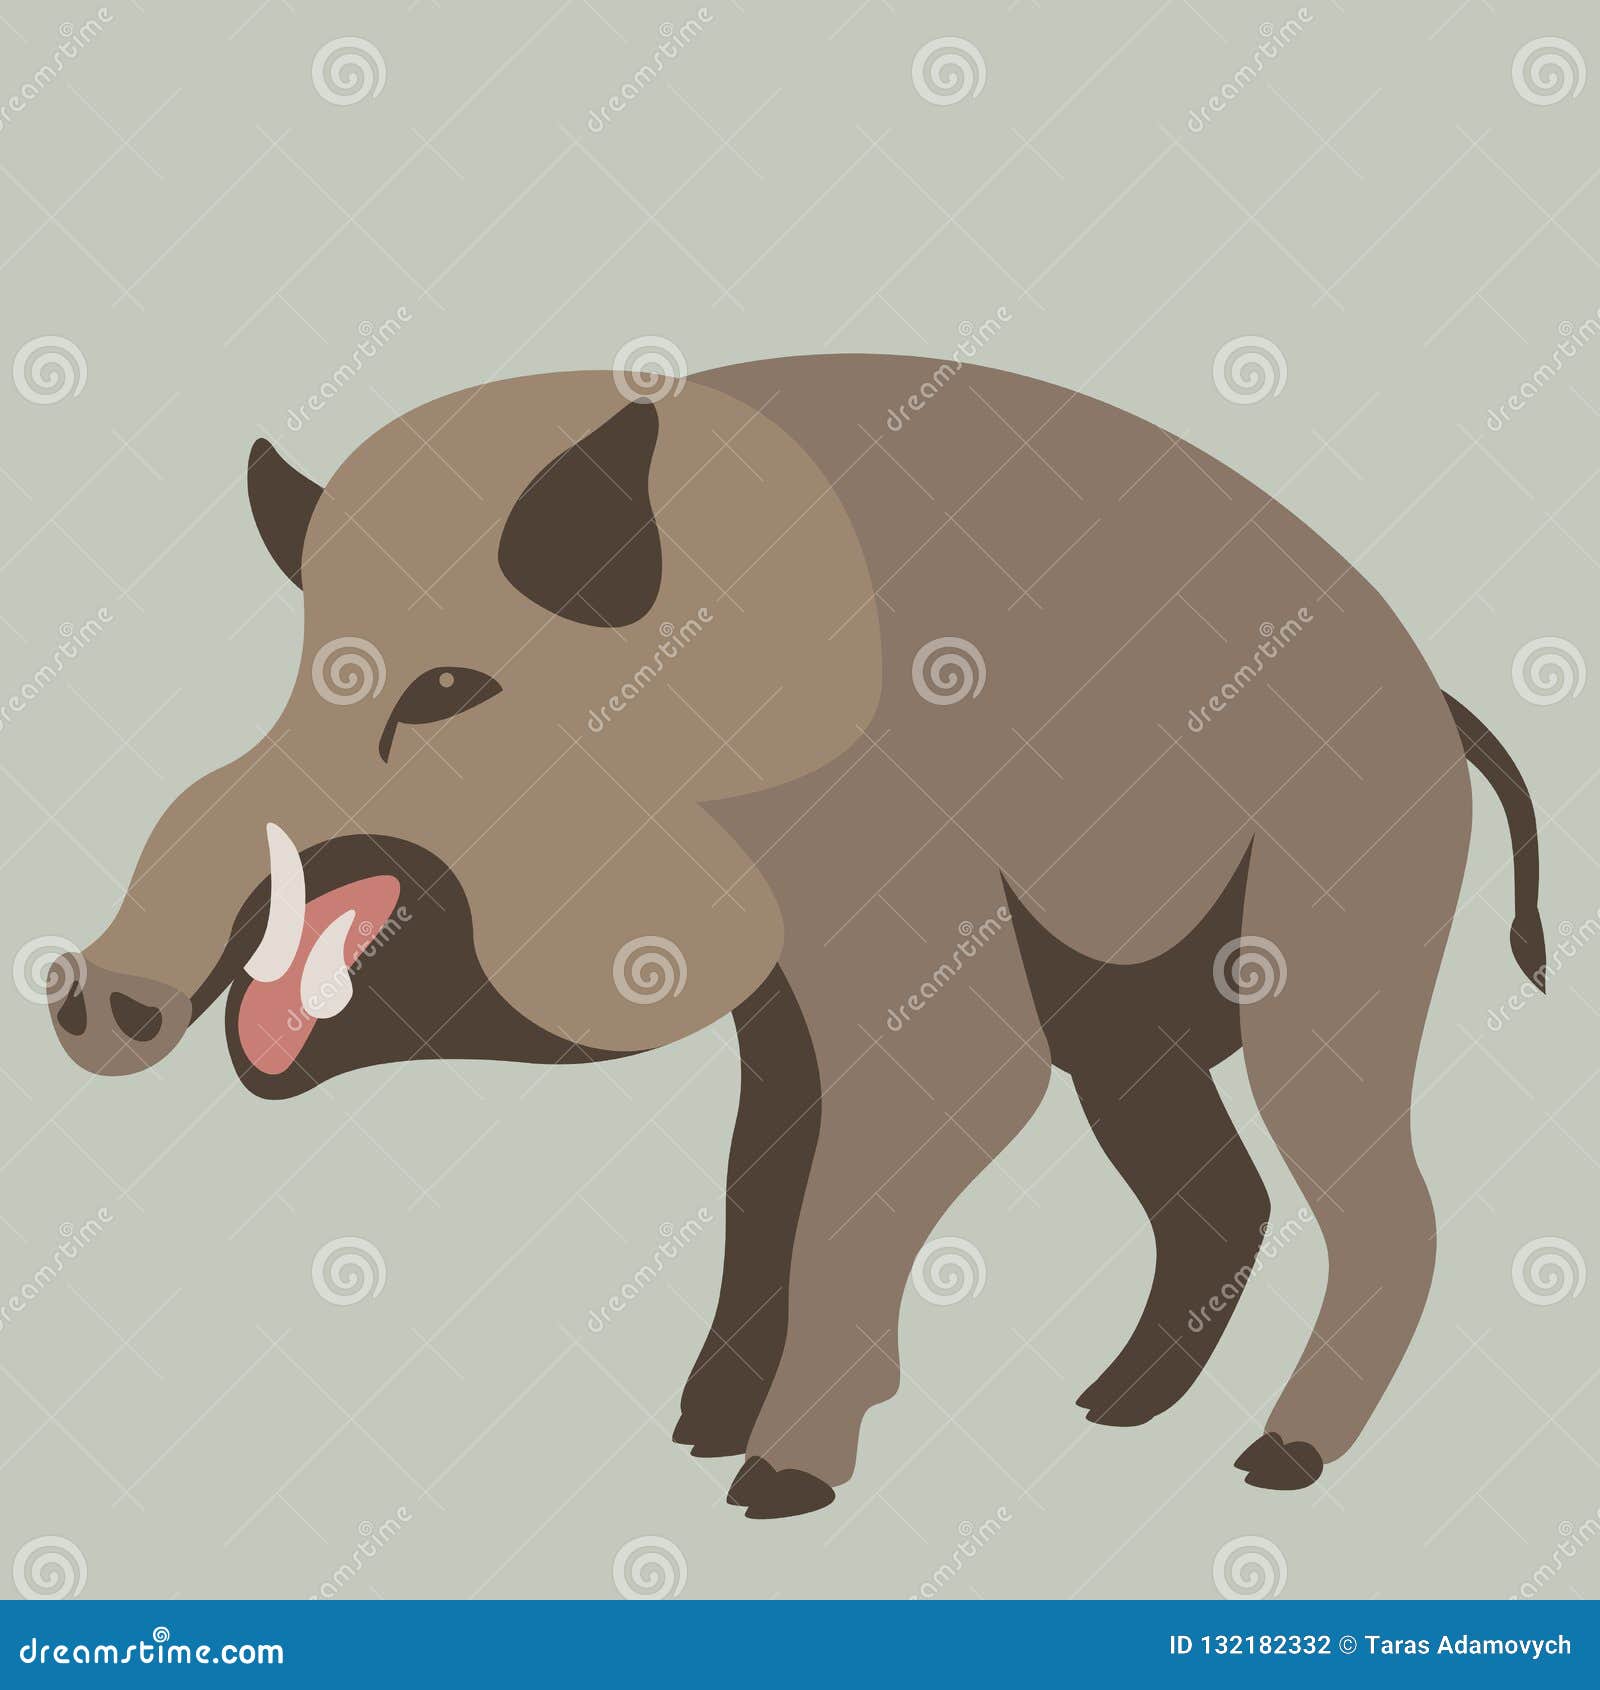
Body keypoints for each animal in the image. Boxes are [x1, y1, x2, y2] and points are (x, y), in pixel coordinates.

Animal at [47, 355, 1544, 1518]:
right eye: (301, 677)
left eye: (449, 688)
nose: (83, 991)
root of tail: (1441, 707)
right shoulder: (776, 1003)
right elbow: (759, 1177)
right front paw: (693, 1435)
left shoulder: (897, 912)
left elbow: (891, 1152)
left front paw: (771, 1485)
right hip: (1124, 1020)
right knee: (1221, 1192)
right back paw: (1102, 1411)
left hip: (1335, 935)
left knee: (1385, 1203)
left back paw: (1274, 1463)